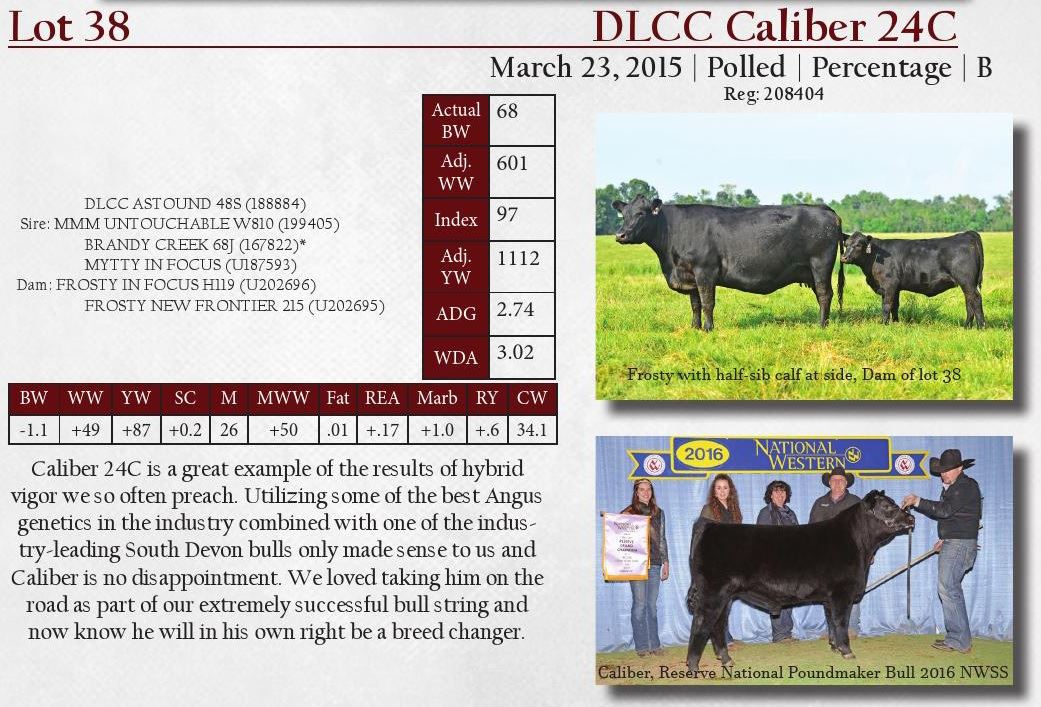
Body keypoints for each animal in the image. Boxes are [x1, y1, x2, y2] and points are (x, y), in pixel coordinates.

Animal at [612, 195, 845, 331]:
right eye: (623, 214)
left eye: (641, 213)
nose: (620, 235)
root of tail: (825, 209)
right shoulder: (690, 274)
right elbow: (695, 304)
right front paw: (694, 328)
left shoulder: (705, 271)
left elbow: (707, 303)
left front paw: (708, 329)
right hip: (810, 270)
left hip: (820, 265)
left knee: (825, 294)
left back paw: (821, 326)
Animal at [684, 490, 914, 673]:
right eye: (887, 506)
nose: (911, 518)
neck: (860, 543)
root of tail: (709, 525)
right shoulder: (842, 593)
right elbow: (841, 621)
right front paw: (847, 651)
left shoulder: (829, 597)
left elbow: (831, 621)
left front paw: (834, 646)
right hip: (713, 592)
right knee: (701, 623)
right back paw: (694, 666)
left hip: (726, 596)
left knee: (717, 625)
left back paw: (726, 659)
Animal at [840, 230, 985, 328]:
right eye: (846, 244)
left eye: (859, 245)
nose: (843, 258)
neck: (875, 256)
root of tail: (967, 234)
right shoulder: (895, 288)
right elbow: (895, 306)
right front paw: (895, 323)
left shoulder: (889, 285)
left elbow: (886, 305)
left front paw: (883, 324)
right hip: (968, 284)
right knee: (969, 301)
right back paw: (967, 326)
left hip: (967, 281)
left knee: (975, 299)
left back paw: (981, 326)